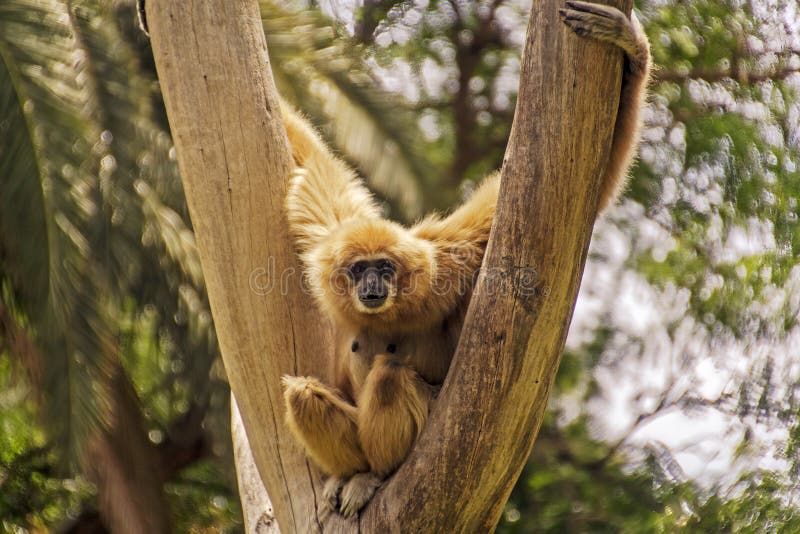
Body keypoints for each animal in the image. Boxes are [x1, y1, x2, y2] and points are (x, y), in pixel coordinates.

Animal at [280, 1, 651, 517]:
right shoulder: (330, 235)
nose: (371, 286)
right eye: (359, 269)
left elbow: (585, 194)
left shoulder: (451, 256)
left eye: (385, 268)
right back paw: (352, 472)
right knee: (302, 394)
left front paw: (628, 44)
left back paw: (375, 475)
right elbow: (311, 160)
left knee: (389, 377)